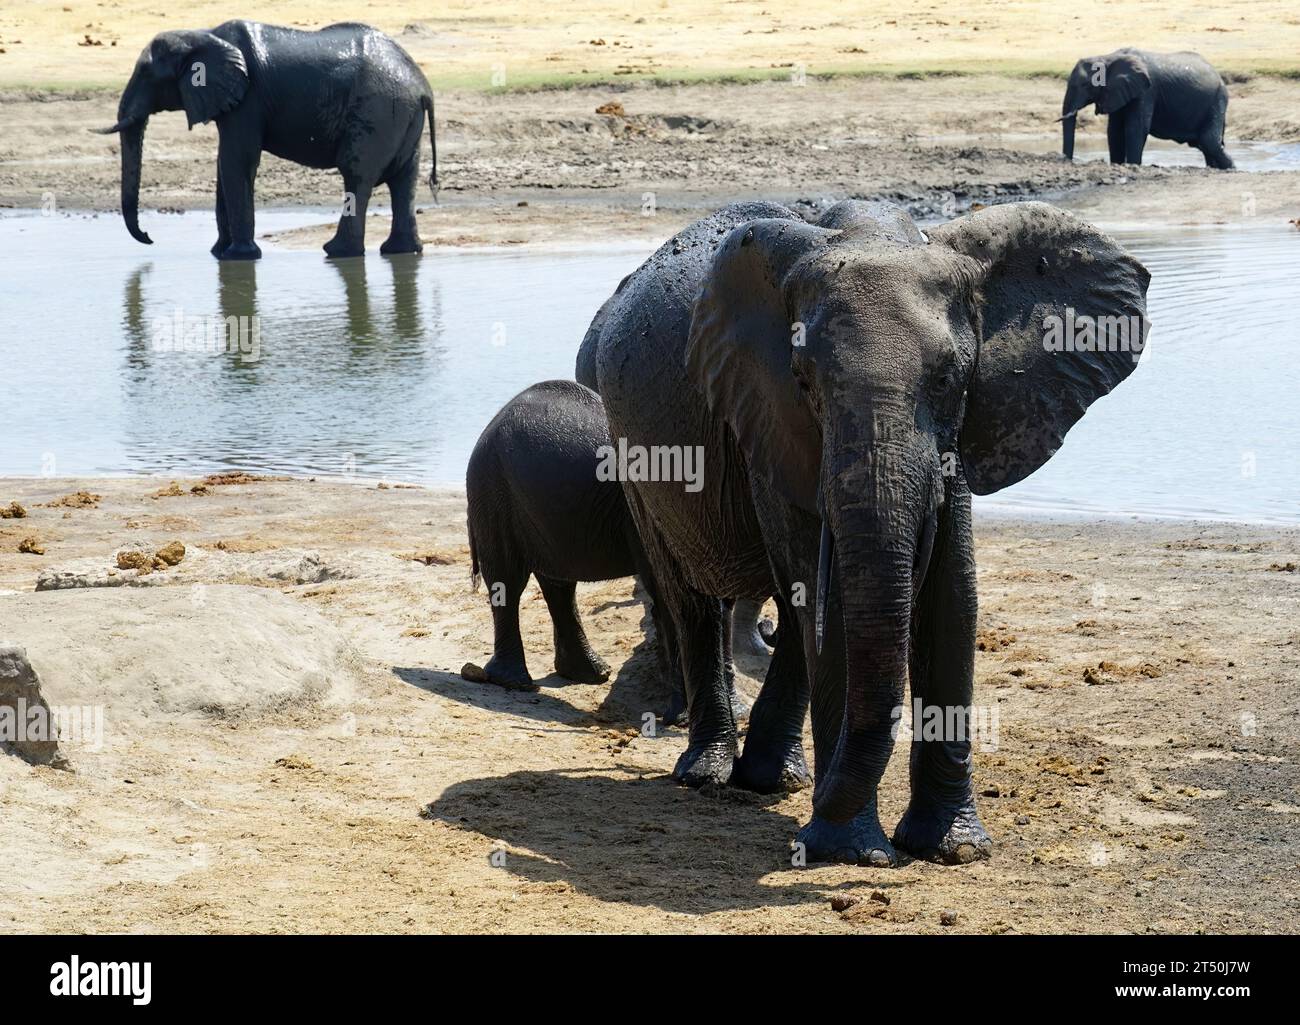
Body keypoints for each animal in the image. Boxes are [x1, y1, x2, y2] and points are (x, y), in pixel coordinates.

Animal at [96, 20, 437, 260]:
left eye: (146, 73)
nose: (149, 236)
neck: (202, 35)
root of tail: (422, 86)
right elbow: (224, 166)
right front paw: (218, 254)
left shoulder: (249, 99)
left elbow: (237, 161)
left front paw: (238, 258)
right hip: (400, 116)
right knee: (404, 180)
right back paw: (400, 251)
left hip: (377, 110)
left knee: (357, 175)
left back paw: (338, 252)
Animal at [466, 379, 754, 724]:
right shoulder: (643, 514)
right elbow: (671, 595)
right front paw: (682, 718)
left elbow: (721, 601)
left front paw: (736, 714)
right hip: (492, 491)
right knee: (508, 580)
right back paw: (516, 682)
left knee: (559, 584)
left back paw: (591, 674)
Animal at [582, 199, 1149, 866]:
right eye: (804, 381)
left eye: (949, 377)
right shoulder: (768, 416)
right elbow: (836, 600)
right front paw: (849, 850)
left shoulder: (959, 430)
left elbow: (953, 594)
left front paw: (954, 849)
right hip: (629, 446)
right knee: (694, 597)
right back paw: (712, 775)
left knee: (791, 609)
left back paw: (775, 780)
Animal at [1060, 48, 1233, 169]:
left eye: (1085, 85)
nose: (1068, 161)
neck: (1108, 57)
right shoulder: (1118, 91)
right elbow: (1114, 131)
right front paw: (1117, 165)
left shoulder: (1147, 91)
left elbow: (1135, 128)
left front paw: (1133, 165)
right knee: (1203, 144)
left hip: (1217, 99)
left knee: (1209, 141)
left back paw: (1231, 169)